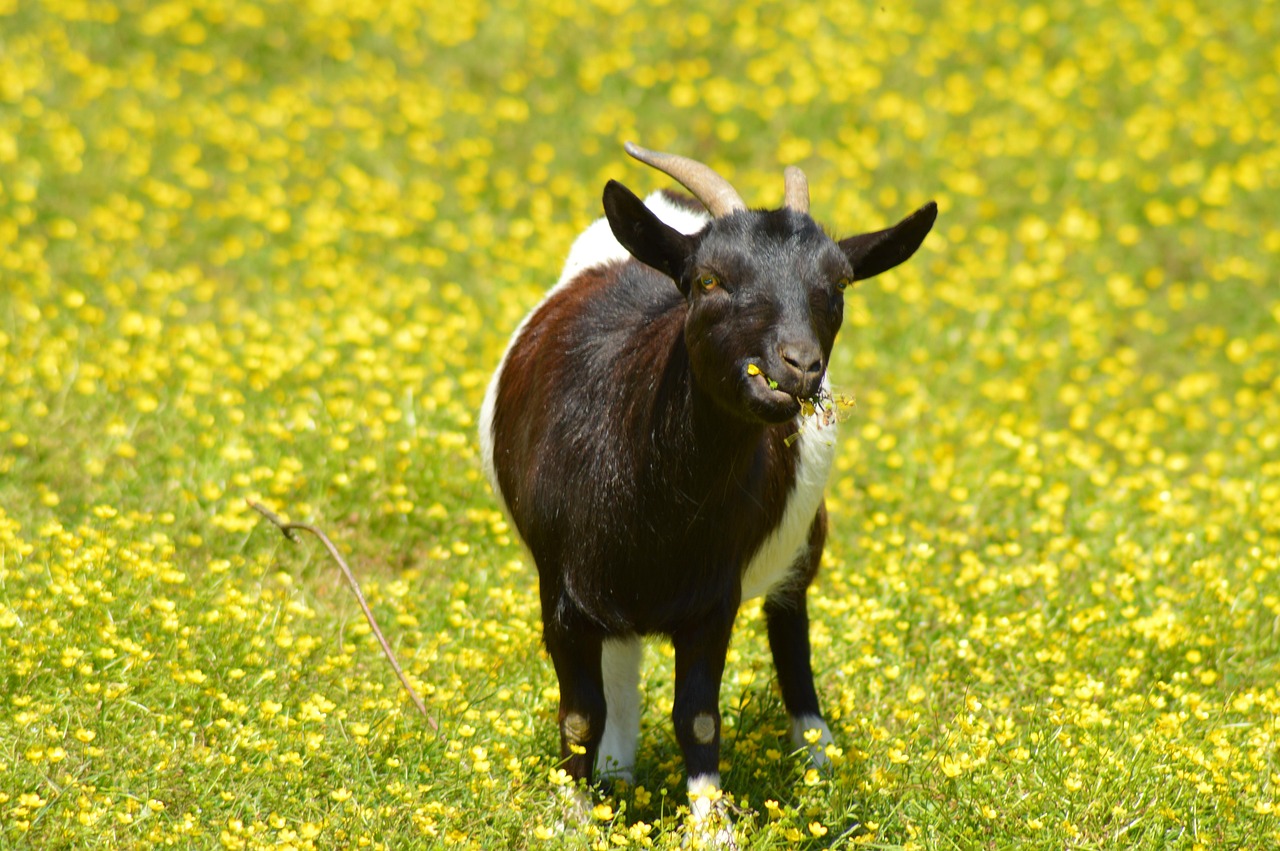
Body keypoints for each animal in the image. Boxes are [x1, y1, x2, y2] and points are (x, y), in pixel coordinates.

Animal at [479, 143, 936, 834]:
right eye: (710, 280)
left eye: (836, 286)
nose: (798, 366)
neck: (652, 507)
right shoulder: (559, 588)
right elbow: (579, 715)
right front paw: (572, 816)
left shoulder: (713, 598)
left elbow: (697, 718)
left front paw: (711, 826)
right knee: (621, 666)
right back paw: (617, 771)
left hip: (805, 535)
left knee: (790, 626)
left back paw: (816, 758)